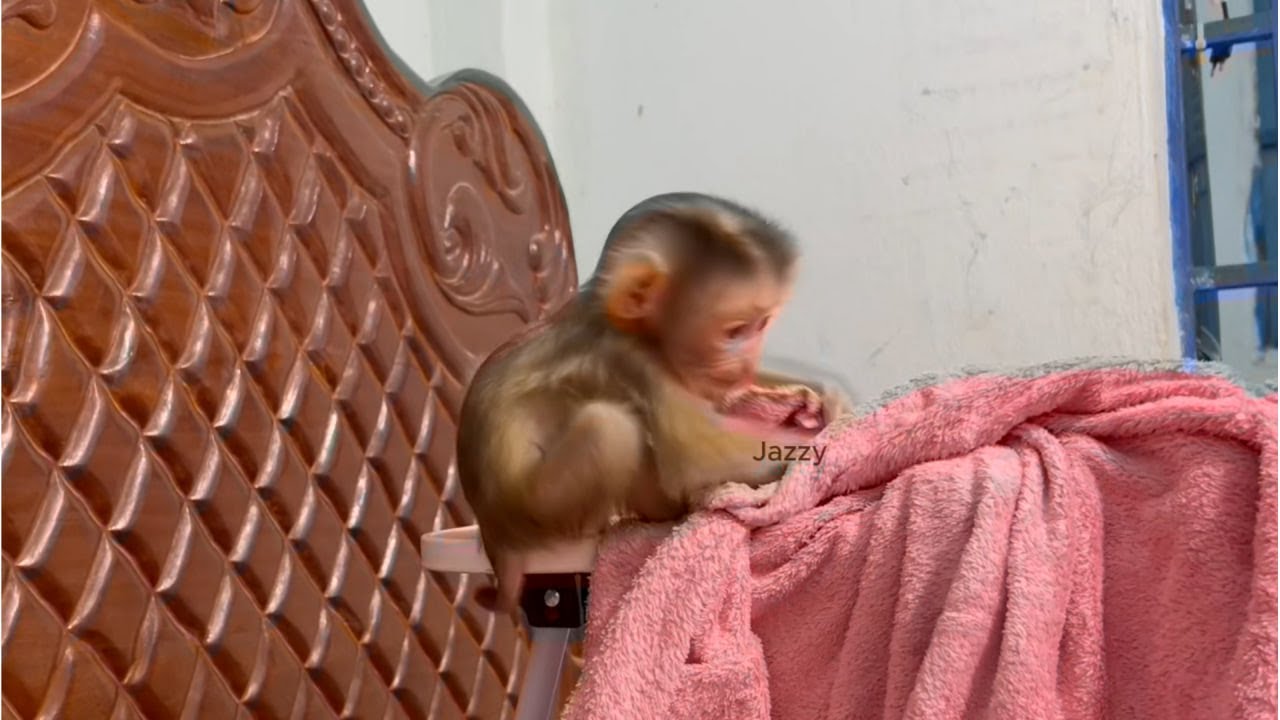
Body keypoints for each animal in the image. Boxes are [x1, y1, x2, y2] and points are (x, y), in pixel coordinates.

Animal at [455, 192, 849, 613]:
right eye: (735, 332)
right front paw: (828, 439)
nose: (747, 363)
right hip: (540, 513)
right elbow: (696, 457)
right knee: (611, 428)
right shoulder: (632, 360)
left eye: (762, 325)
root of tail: (495, 535)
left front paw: (816, 398)